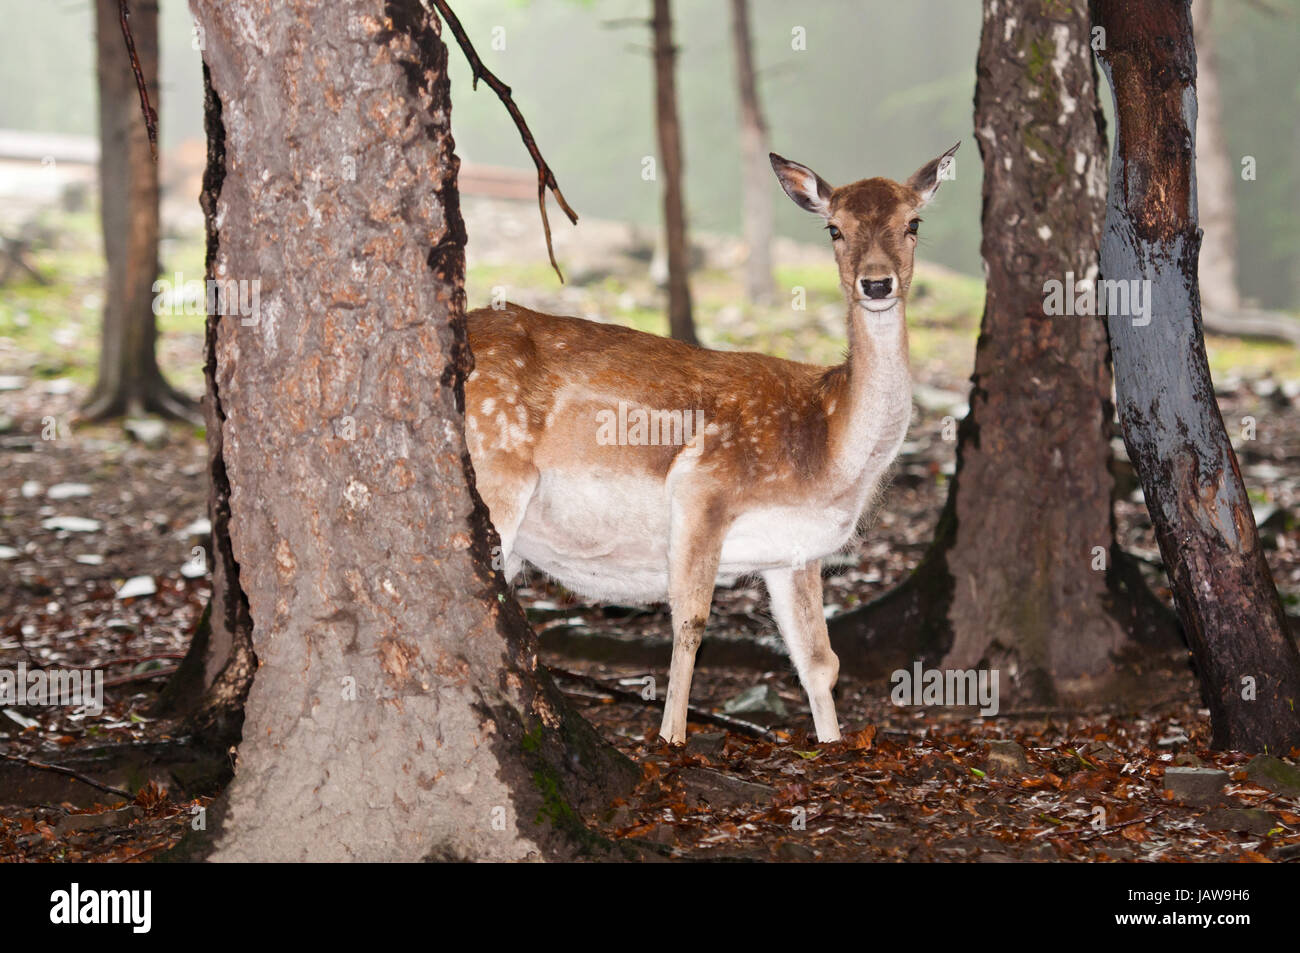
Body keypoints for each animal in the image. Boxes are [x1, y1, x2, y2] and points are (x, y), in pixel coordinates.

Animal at [464, 143, 959, 745]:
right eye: (835, 228)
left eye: (913, 222)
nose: (878, 284)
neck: (829, 451)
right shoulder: (704, 485)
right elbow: (690, 623)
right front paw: (671, 740)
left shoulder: (794, 552)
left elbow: (820, 661)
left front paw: (832, 744)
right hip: (496, 471)